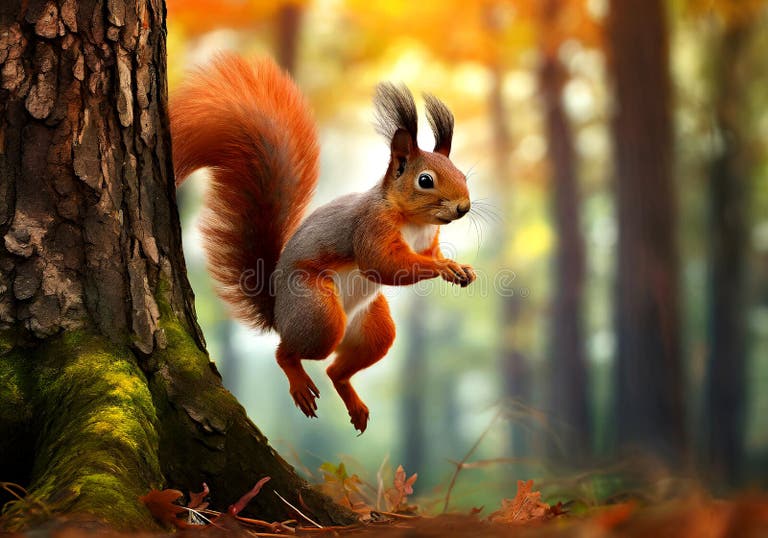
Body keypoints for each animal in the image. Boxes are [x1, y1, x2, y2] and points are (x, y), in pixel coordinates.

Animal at [171, 54, 475, 433]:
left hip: (374, 331)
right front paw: (444, 267)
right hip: (318, 313)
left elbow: (423, 255)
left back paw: (353, 401)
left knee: (335, 370)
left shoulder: (426, 240)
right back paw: (299, 381)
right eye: (425, 180)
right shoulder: (370, 227)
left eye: (462, 174)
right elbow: (385, 265)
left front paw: (459, 266)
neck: (415, 222)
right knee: (286, 352)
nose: (464, 207)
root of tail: (279, 313)